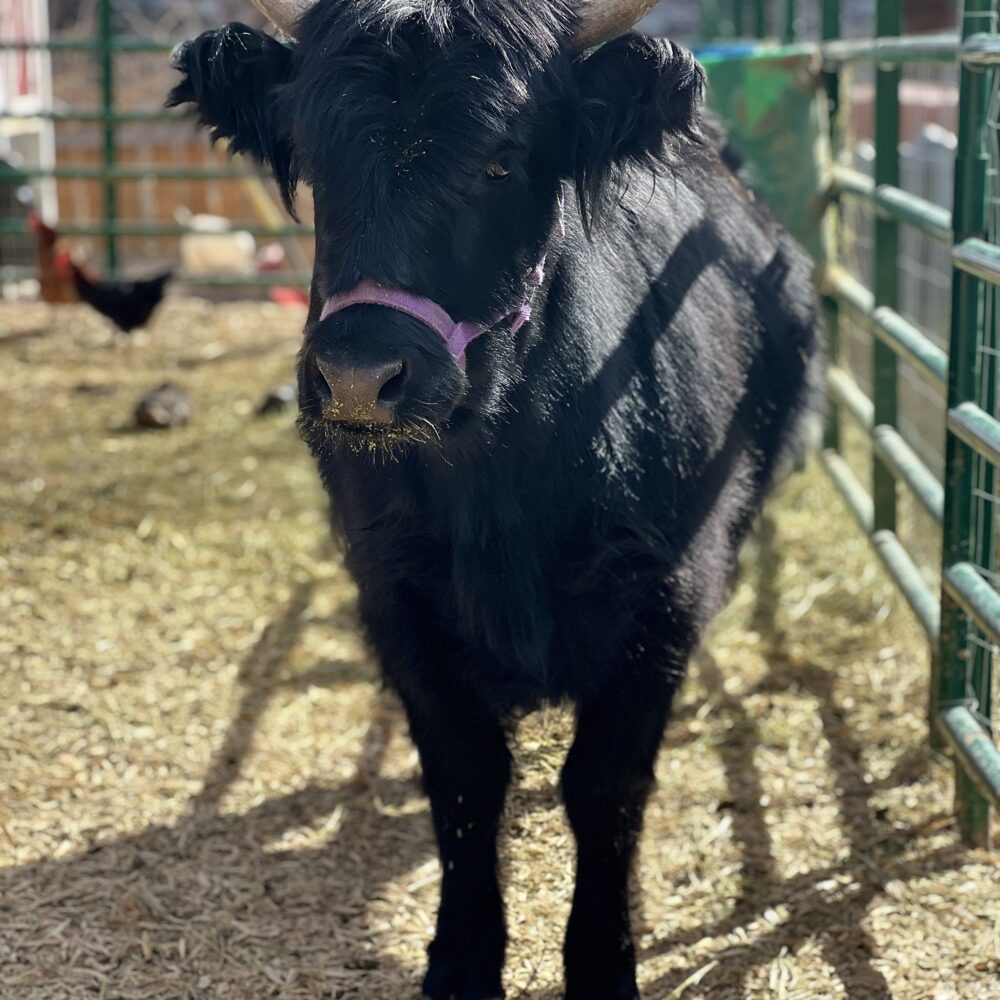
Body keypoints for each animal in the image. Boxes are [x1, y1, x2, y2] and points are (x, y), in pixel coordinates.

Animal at [168, 2, 821, 996]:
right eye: (313, 157)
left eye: (501, 160)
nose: (359, 378)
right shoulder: (397, 599)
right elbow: (467, 780)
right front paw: (462, 957)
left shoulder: (664, 599)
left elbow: (605, 785)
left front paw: (601, 961)